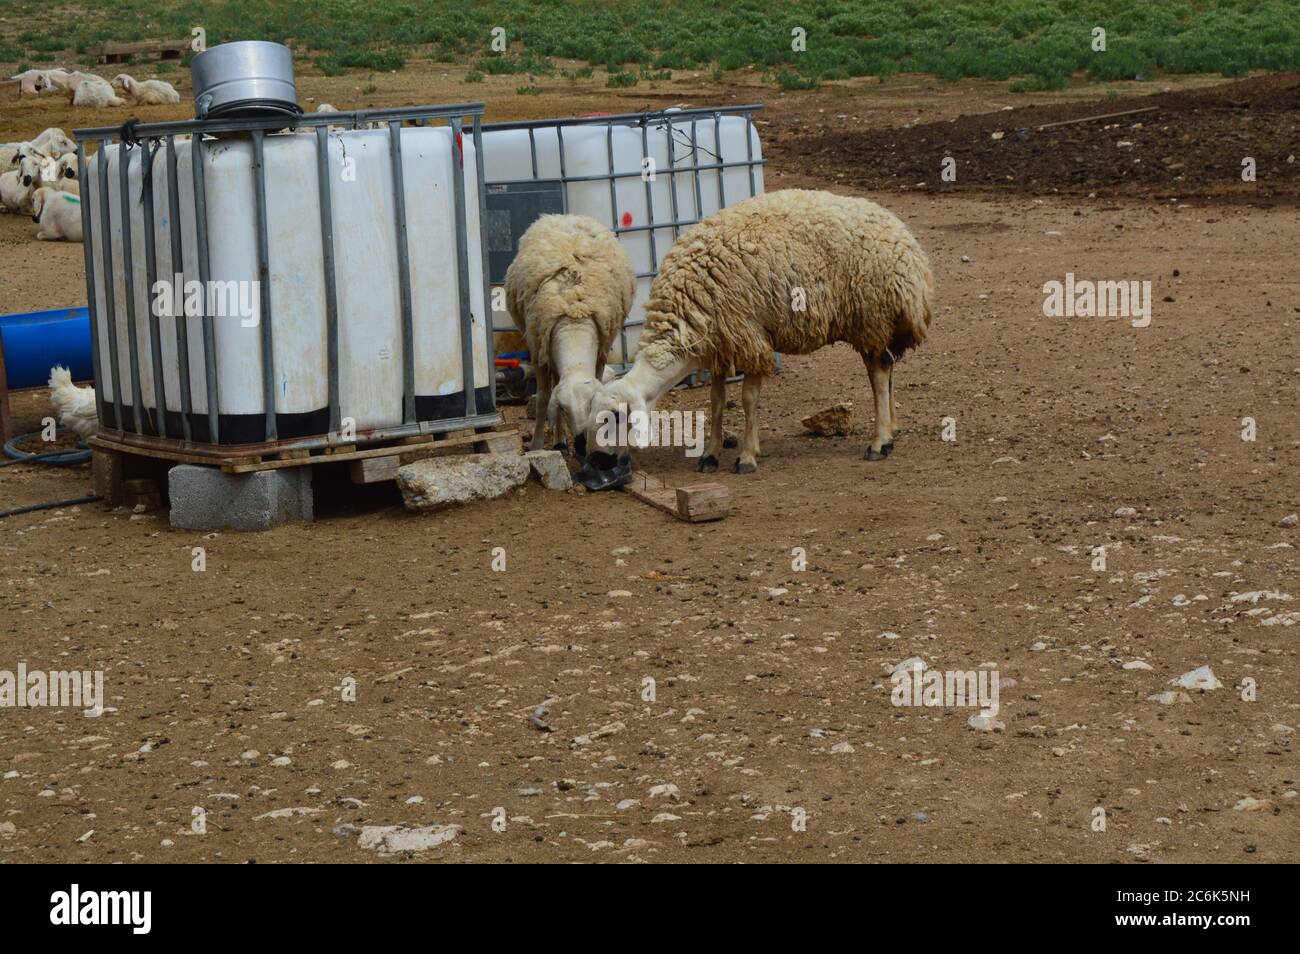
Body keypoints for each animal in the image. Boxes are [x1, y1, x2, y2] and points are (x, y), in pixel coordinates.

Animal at [504, 213, 635, 456]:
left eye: (591, 404)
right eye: (564, 408)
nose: (581, 442)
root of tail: (565, 216)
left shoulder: (601, 352)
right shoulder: (539, 351)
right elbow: (543, 400)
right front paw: (537, 445)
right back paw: (559, 440)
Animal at [585, 189, 934, 475]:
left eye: (612, 419)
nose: (595, 462)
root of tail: (910, 250)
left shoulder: (749, 337)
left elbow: (748, 400)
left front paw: (746, 457)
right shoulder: (720, 343)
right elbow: (716, 400)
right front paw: (710, 455)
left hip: (870, 315)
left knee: (879, 372)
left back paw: (880, 442)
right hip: (878, 322)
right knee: (888, 368)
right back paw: (892, 429)